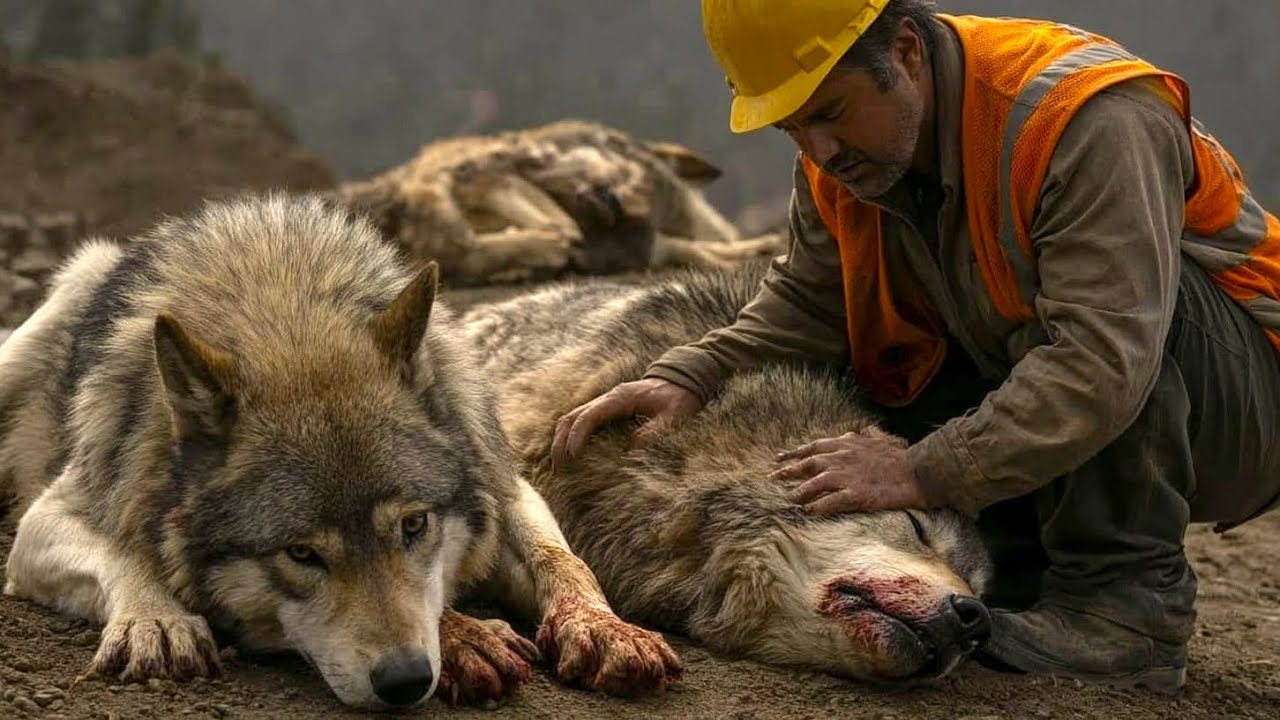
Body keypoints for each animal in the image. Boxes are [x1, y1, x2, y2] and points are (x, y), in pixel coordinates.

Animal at [0, 193, 681, 710]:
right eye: (302, 553)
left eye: (414, 525)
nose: (405, 680)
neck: (286, 315)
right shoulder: (52, 514)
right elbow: (124, 551)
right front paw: (156, 620)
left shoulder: (500, 479)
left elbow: (559, 558)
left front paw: (603, 628)